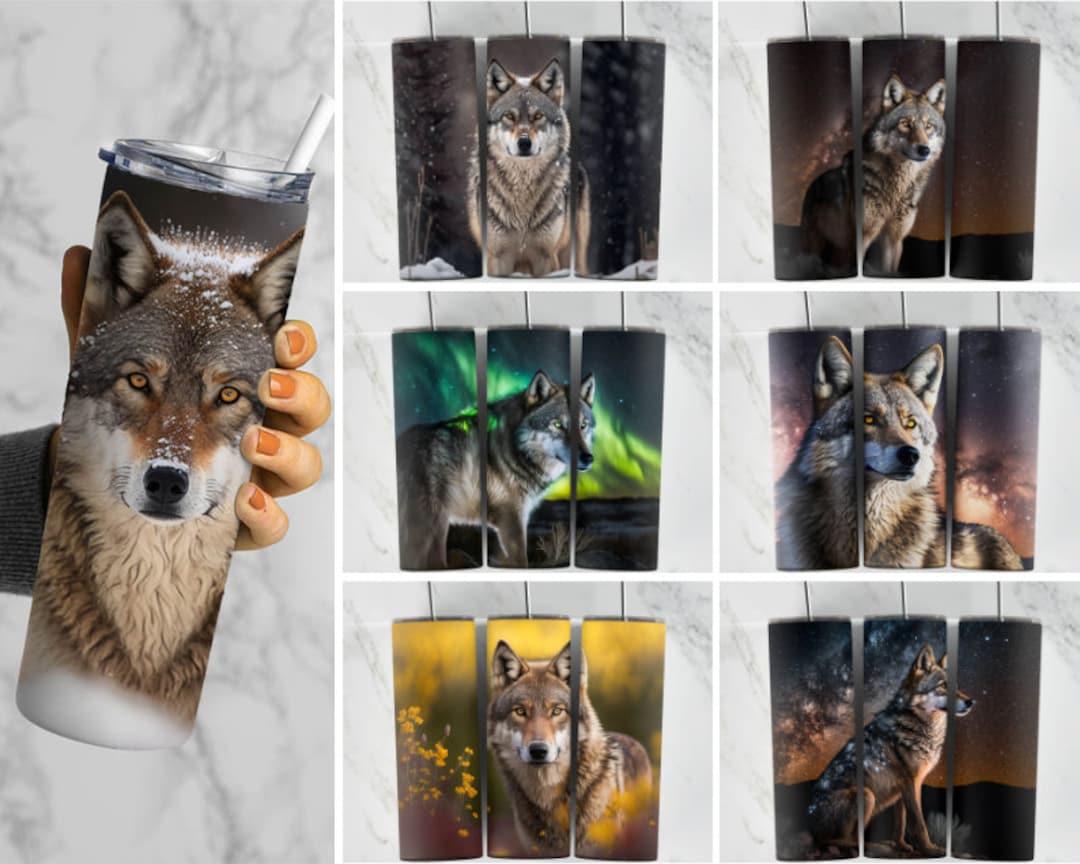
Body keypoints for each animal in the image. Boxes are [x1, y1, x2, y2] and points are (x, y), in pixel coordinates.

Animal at [396, 371, 595, 570]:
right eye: (557, 425)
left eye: (583, 425)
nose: (588, 458)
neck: (515, 447)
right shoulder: (511, 520)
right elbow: (521, 561)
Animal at [808, 644, 974, 855]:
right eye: (943, 686)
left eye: (957, 686)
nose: (971, 702)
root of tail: (810, 827)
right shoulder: (910, 782)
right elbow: (918, 823)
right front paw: (929, 849)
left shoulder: (904, 787)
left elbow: (901, 823)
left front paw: (901, 846)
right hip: (866, 795)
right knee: (837, 840)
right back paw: (868, 846)